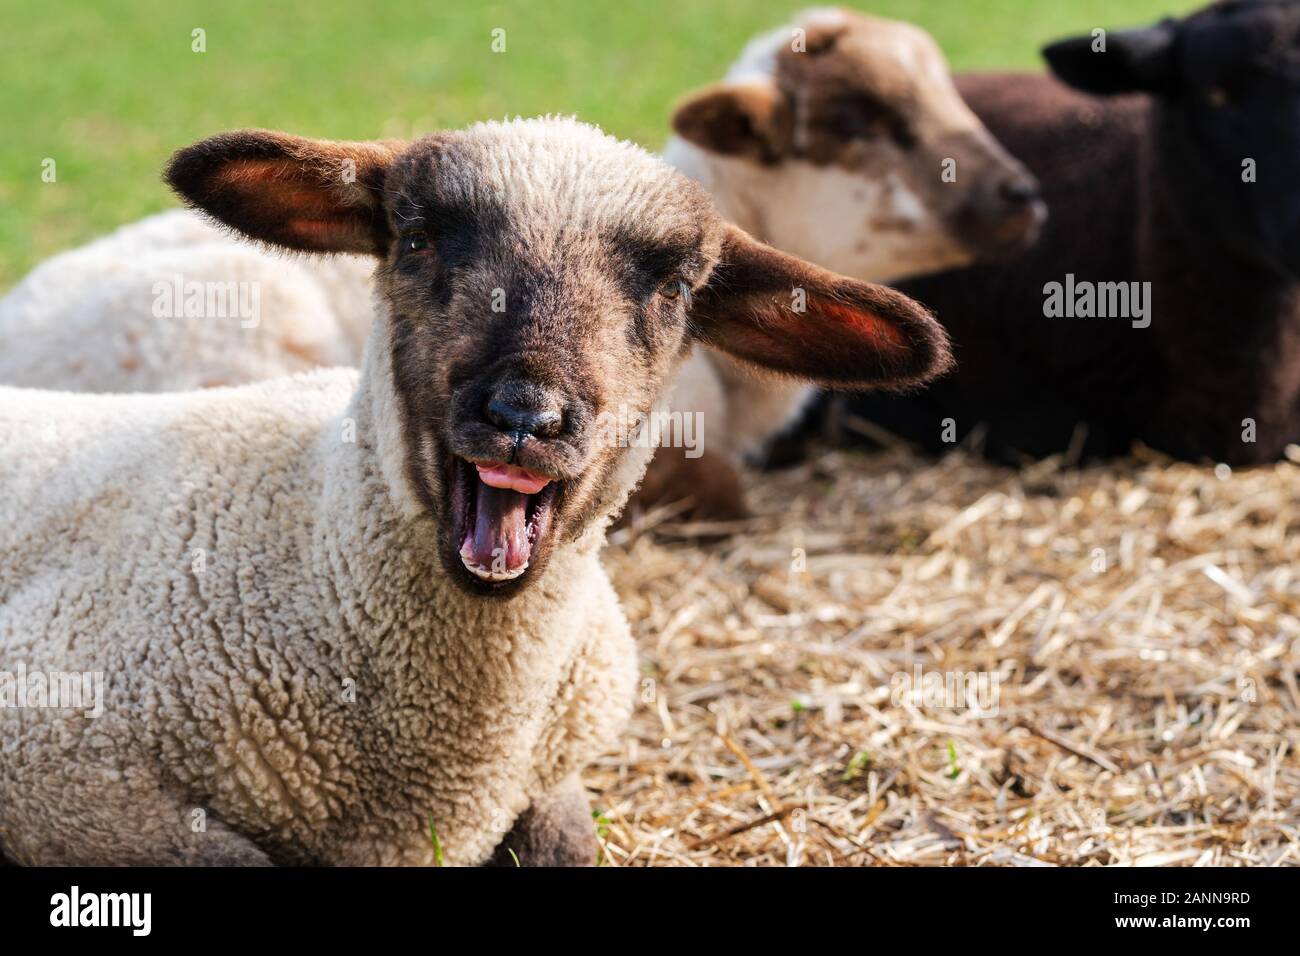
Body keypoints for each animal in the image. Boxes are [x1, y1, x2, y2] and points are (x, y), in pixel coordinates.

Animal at [0, 118, 951, 866]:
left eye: (677, 288)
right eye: (417, 240)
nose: (525, 414)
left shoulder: (553, 771)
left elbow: (568, 844)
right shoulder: (59, 764)